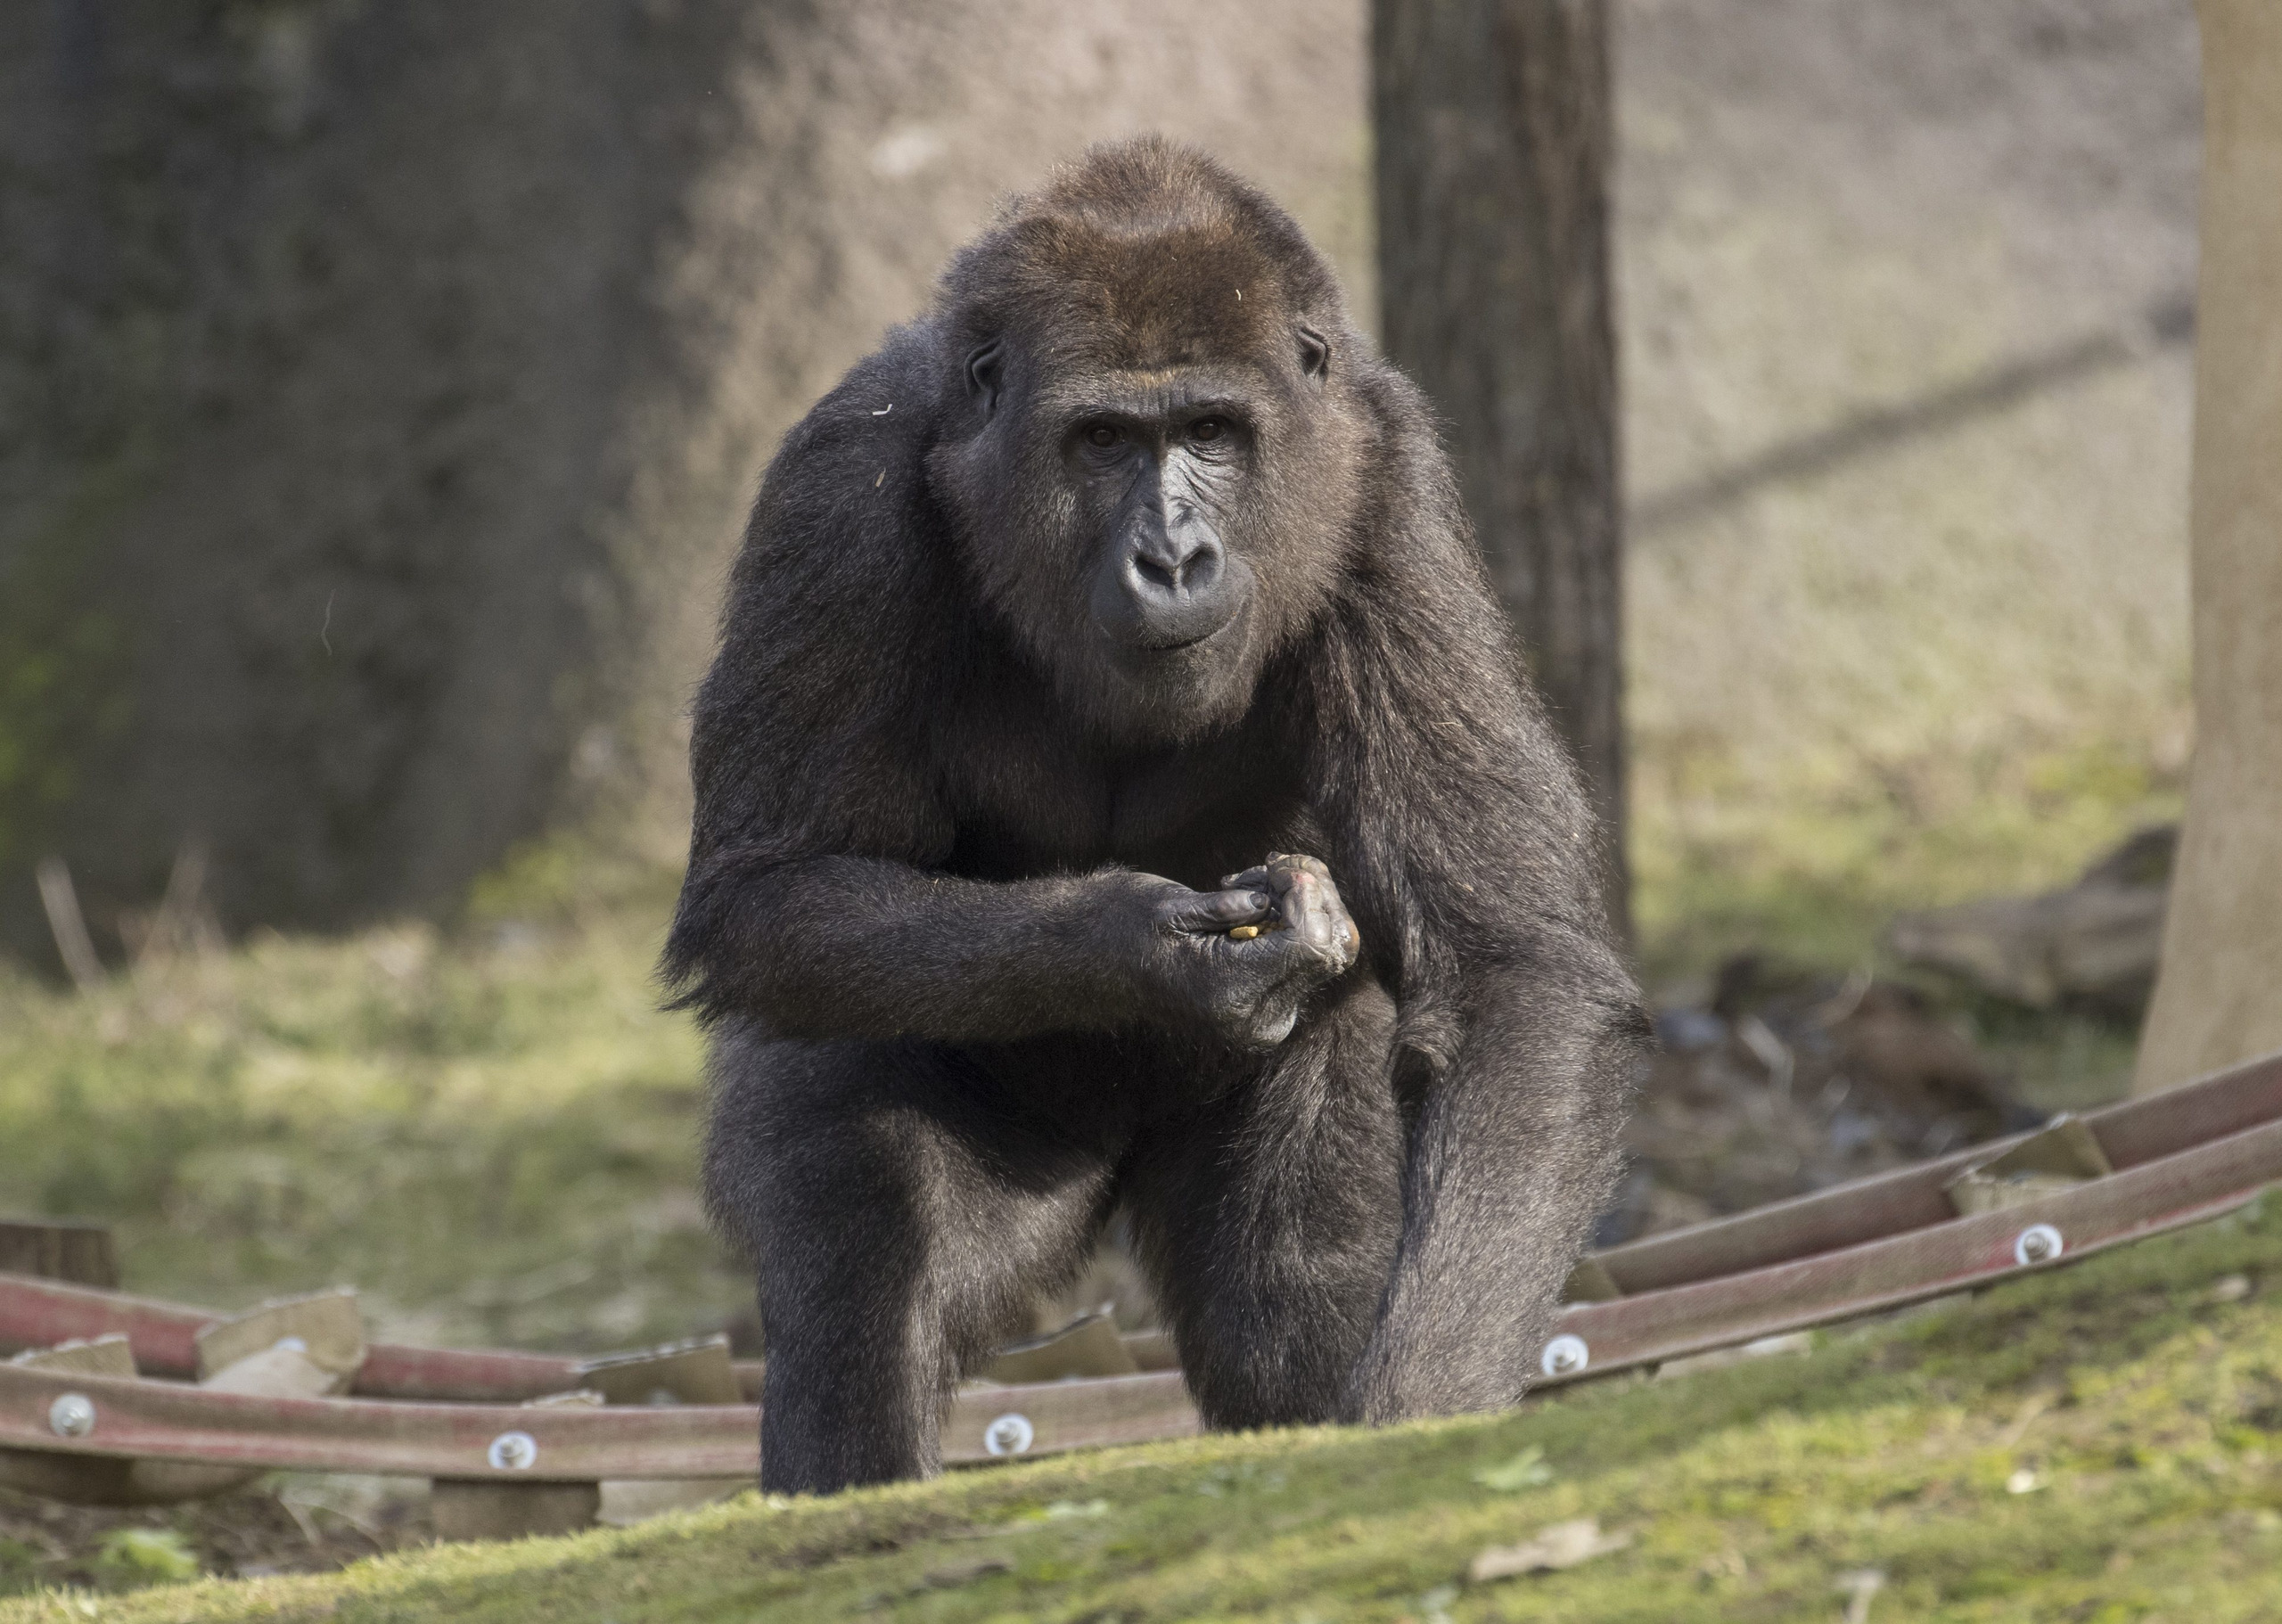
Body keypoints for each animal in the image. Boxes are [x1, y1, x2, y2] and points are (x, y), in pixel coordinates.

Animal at [664, 136, 1650, 1496]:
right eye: (1101, 441)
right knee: (857, 1253)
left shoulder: (1386, 478)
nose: (1172, 557)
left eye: (1211, 433)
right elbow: (773, 887)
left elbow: (1514, 973)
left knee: (1285, 1295)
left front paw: (1419, 1411)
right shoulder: (837, 480)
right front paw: (1136, 945)